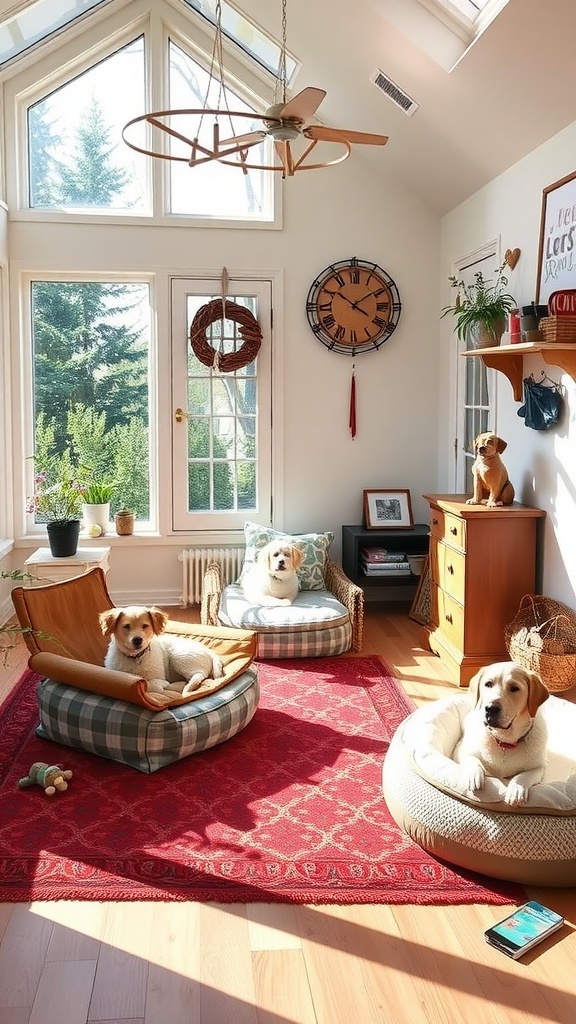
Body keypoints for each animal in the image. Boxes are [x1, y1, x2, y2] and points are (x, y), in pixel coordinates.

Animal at [453, 663, 545, 806]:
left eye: (514, 688)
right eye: (488, 684)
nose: (490, 708)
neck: (504, 741)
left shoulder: (540, 767)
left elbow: (523, 776)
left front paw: (517, 789)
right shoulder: (460, 751)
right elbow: (473, 760)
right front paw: (474, 775)